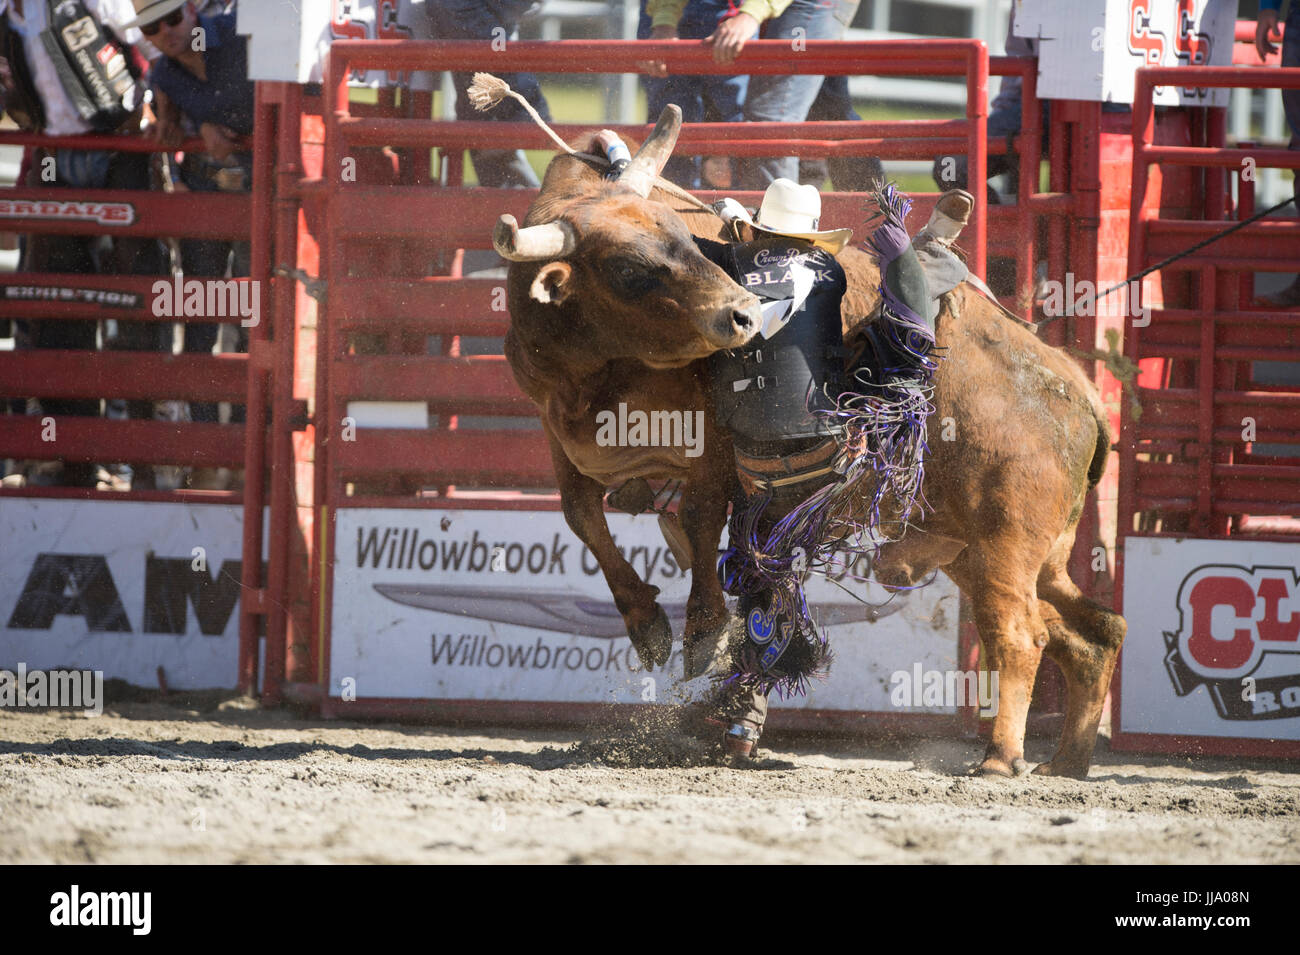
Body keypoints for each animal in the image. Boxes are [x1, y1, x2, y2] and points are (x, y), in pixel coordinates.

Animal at [496, 106, 1127, 779]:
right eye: (628, 269)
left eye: (686, 241)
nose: (743, 314)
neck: (590, 374)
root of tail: (1075, 387)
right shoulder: (560, 436)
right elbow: (581, 515)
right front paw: (645, 625)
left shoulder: (714, 447)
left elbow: (697, 517)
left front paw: (702, 631)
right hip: (999, 551)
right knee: (1092, 632)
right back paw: (1068, 761)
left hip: (1007, 541)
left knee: (1020, 634)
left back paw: (1002, 757)